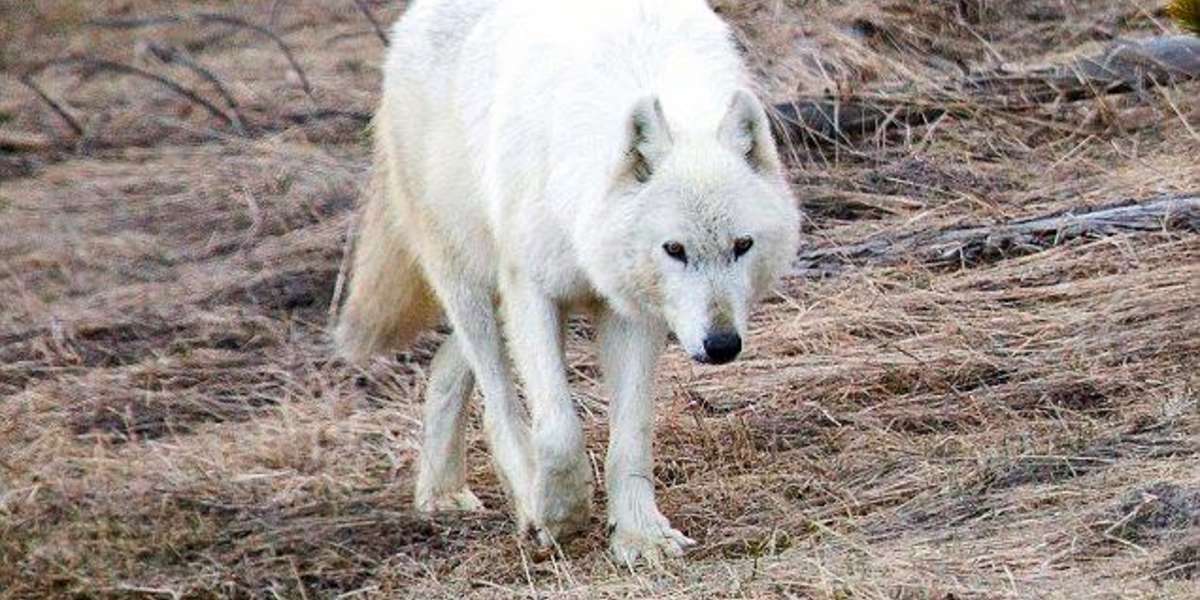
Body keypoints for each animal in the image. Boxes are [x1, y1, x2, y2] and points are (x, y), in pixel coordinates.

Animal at [335, 0, 800, 563]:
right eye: (675, 250)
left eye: (742, 246)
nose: (722, 345)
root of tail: (409, 21)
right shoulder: (532, 291)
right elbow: (558, 429)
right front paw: (561, 514)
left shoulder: (631, 308)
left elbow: (631, 435)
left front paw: (639, 536)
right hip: (467, 278)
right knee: (497, 398)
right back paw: (520, 503)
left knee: (448, 366)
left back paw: (441, 493)